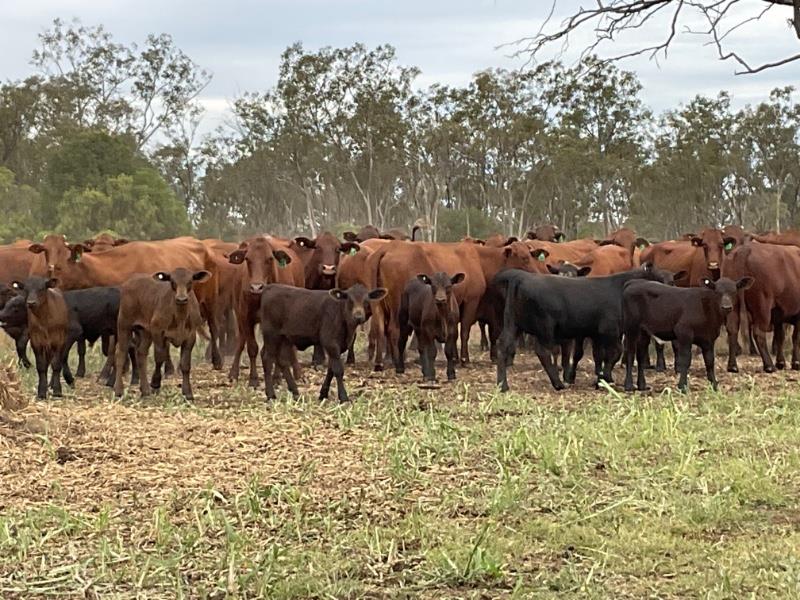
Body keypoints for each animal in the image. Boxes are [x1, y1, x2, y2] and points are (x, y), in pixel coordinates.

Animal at [114, 268, 210, 400]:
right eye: (172, 282)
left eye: (190, 281)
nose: (181, 299)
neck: (180, 317)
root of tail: (132, 280)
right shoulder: (158, 332)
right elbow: (160, 358)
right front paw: (155, 383)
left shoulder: (190, 337)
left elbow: (185, 364)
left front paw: (188, 393)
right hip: (124, 324)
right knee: (121, 353)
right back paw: (119, 390)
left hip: (145, 331)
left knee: (141, 353)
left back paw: (145, 390)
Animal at [227, 236, 304, 387]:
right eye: (247, 259)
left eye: (269, 258)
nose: (257, 287)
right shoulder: (246, 317)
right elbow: (252, 347)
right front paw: (253, 379)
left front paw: (277, 377)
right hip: (239, 315)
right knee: (241, 341)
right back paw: (234, 373)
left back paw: (295, 374)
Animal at [259, 283, 387, 402]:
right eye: (350, 300)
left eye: (366, 300)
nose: (358, 316)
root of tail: (271, 287)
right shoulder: (330, 343)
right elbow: (338, 370)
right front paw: (343, 397)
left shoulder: (337, 347)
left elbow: (331, 370)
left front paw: (323, 394)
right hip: (271, 334)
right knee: (268, 358)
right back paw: (271, 395)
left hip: (284, 338)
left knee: (281, 361)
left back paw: (295, 392)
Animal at [493, 264, 671, 392]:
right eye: (658, 281)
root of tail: (521, 276)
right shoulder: (610, 330)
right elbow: (615, 353)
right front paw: (605, 379)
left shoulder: (601, 334)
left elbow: (603, 355)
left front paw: (602, 379)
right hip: (545, 328)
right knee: (543, 351)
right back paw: (558, 383)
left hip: (512, 324)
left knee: (503, 346)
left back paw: (502, 385)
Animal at [622, 276, 753, 392]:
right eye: (717, 292)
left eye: (734, 291)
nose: (726, 307)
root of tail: (634, 282)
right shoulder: (684, 332)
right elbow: (685, 360)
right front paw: (682, 386)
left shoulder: (709, 339)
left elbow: (710, 361)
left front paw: (714, 386)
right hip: (631, 327)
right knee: (630, 353)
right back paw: (628, 385)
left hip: (644, 331)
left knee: (640, 355)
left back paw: (642, 385)